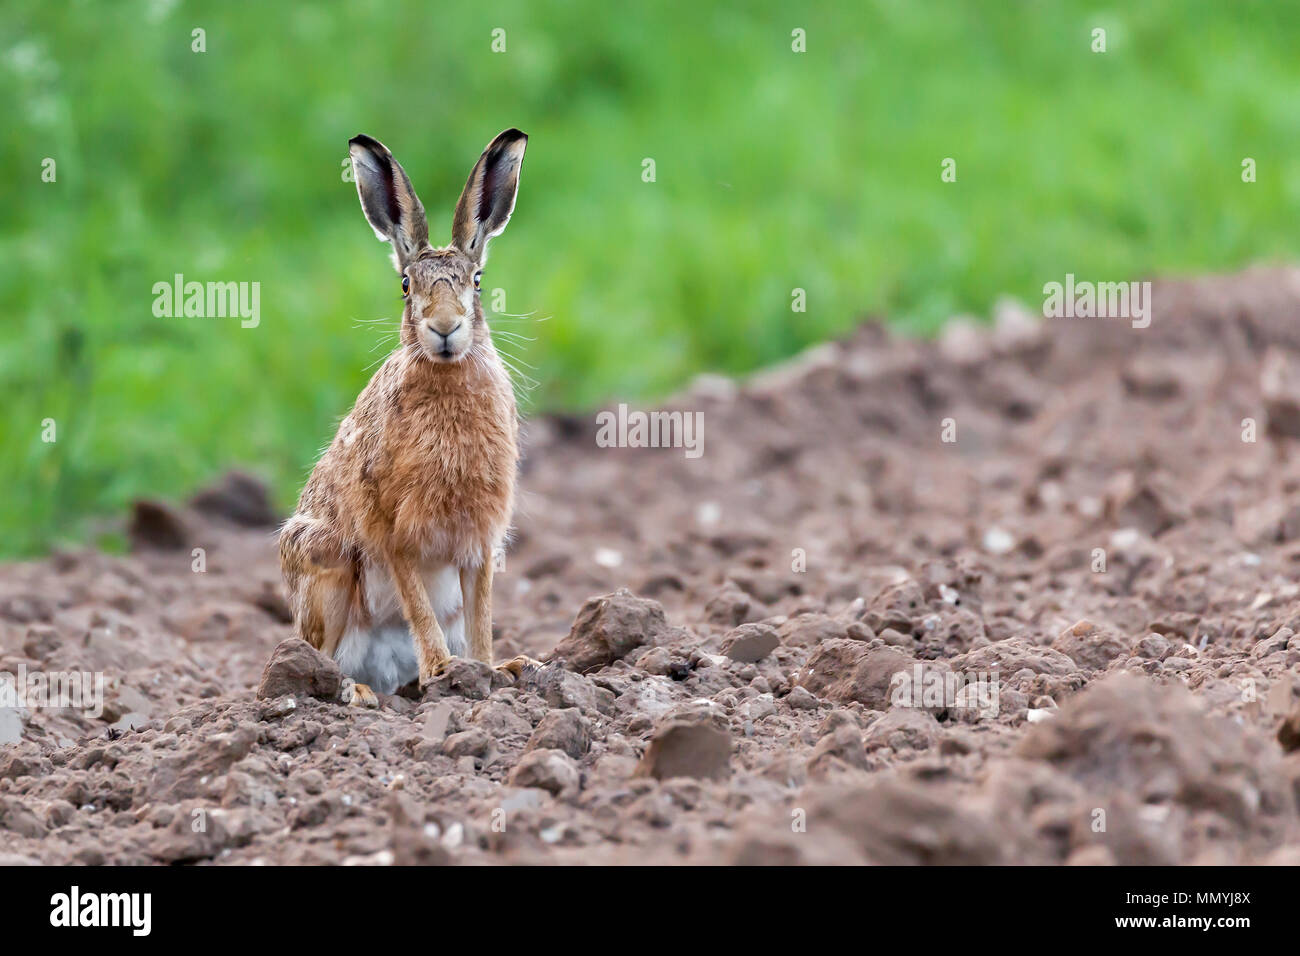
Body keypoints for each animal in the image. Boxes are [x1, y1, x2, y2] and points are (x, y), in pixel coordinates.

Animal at [279, 128, 534, 707]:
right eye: (405, 286)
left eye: (477, 281)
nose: (444, 328)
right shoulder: (394, 531)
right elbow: (416, 600)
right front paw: (445, 669)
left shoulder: (480, 540)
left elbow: (482, 611)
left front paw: (492, 669)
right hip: (326, 568)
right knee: (317, 658)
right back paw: (356, 691)